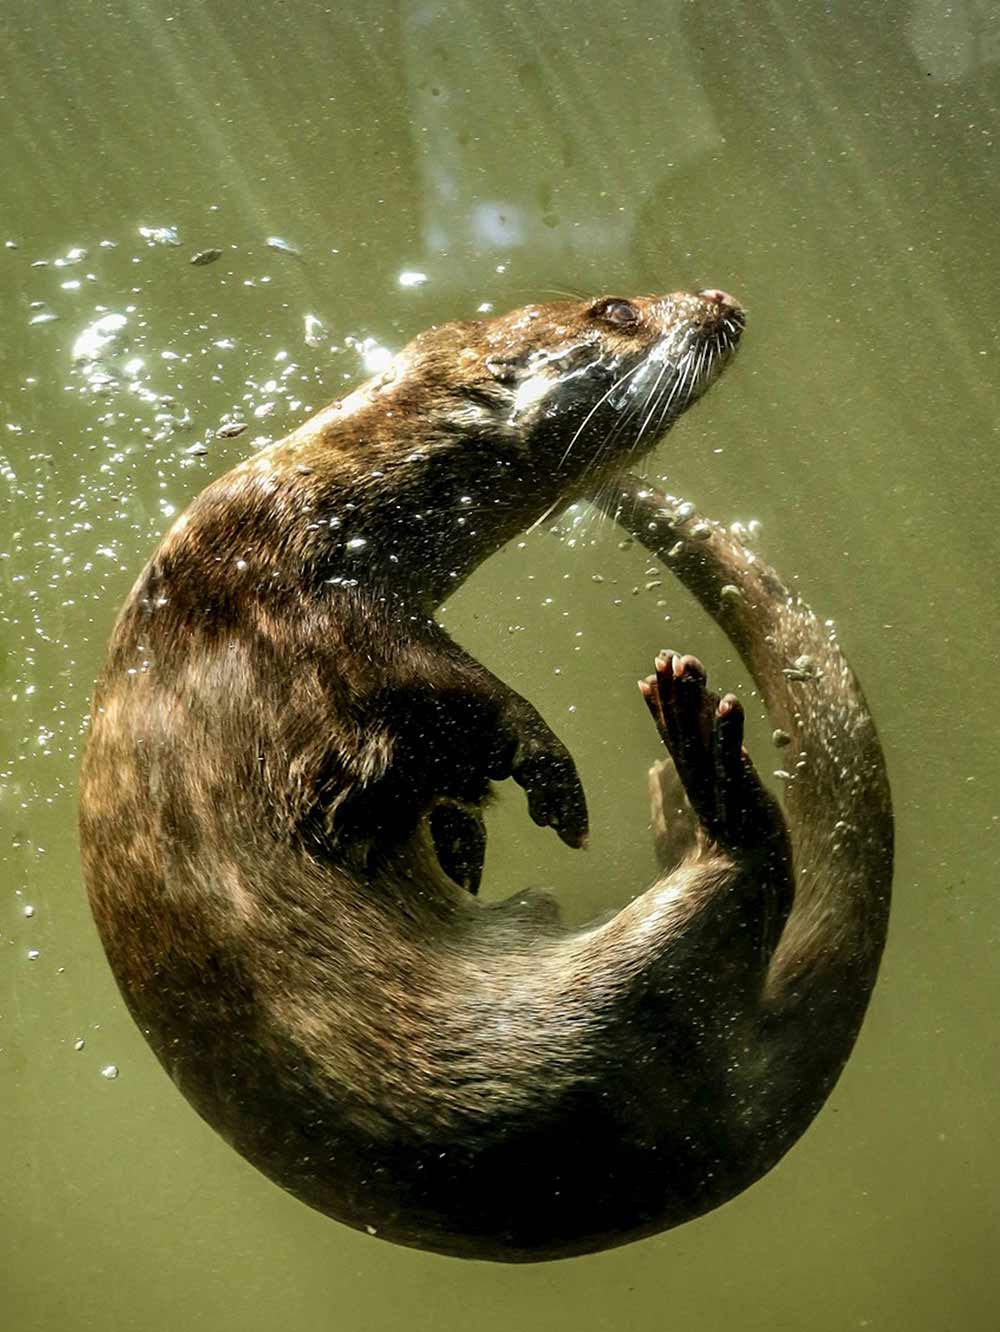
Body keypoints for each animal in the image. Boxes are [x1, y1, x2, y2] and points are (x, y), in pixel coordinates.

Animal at [78, 290, 892, 1262]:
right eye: (616, 309)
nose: (721, 301)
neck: (313, 509)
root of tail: (731, 1133)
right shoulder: (324, 622)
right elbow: (464, 702)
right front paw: (552, 783)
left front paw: (460, 838)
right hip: (583, 1040)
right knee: (746, 874)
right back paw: (699, 756)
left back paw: (676, 800)